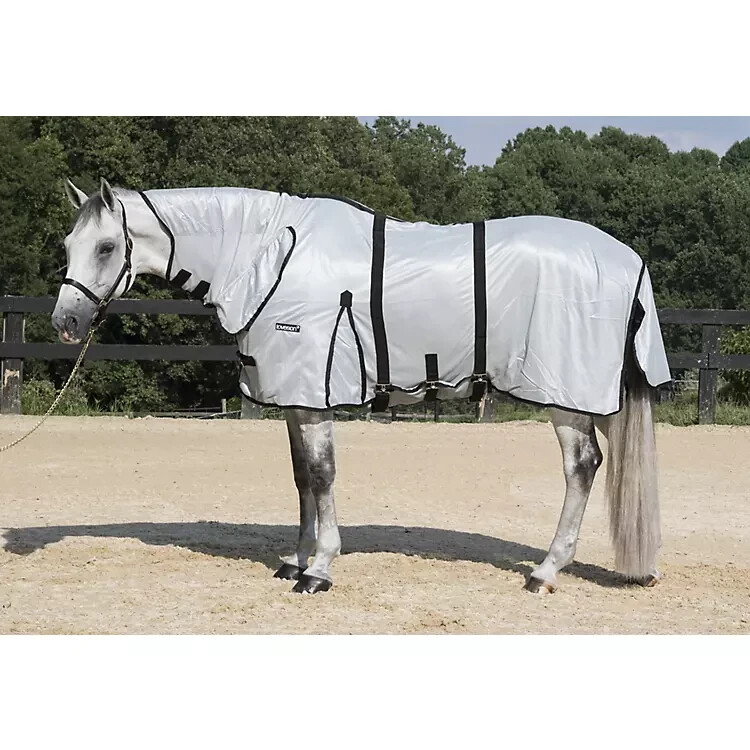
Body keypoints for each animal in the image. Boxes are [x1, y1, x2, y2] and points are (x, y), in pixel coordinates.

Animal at [52, 177, 668, 595]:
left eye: (106, 247)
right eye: (66, 245)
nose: (66, 323)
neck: (269, 253)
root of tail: (629, 259)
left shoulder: (315, 395)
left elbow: (323, 476)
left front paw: (320, 570)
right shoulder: (296, 398)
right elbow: (302, 478)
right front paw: (294, 561)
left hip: (565, 397)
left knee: (583, 466)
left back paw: (545, 571)